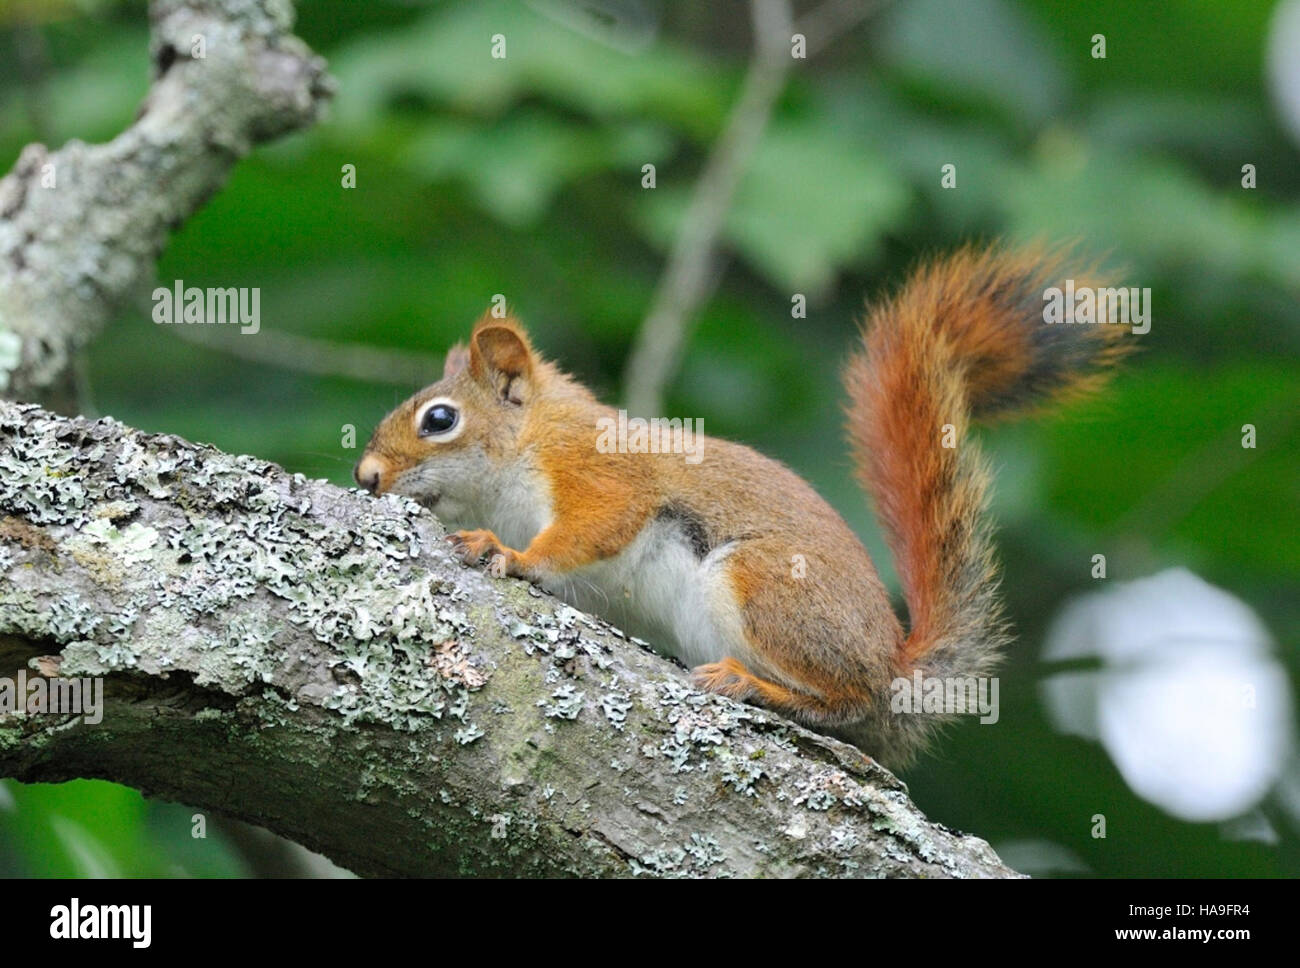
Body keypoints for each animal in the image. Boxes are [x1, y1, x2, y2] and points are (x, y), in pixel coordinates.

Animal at [355, 246, 1129, 768]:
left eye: (440, 420)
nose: (365, 477)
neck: (529, 439)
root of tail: (894, 669)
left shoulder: (600, 473)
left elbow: (592, 528)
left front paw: (507, 553)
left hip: (764, 585)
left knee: (844, 700)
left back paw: (752, 684)